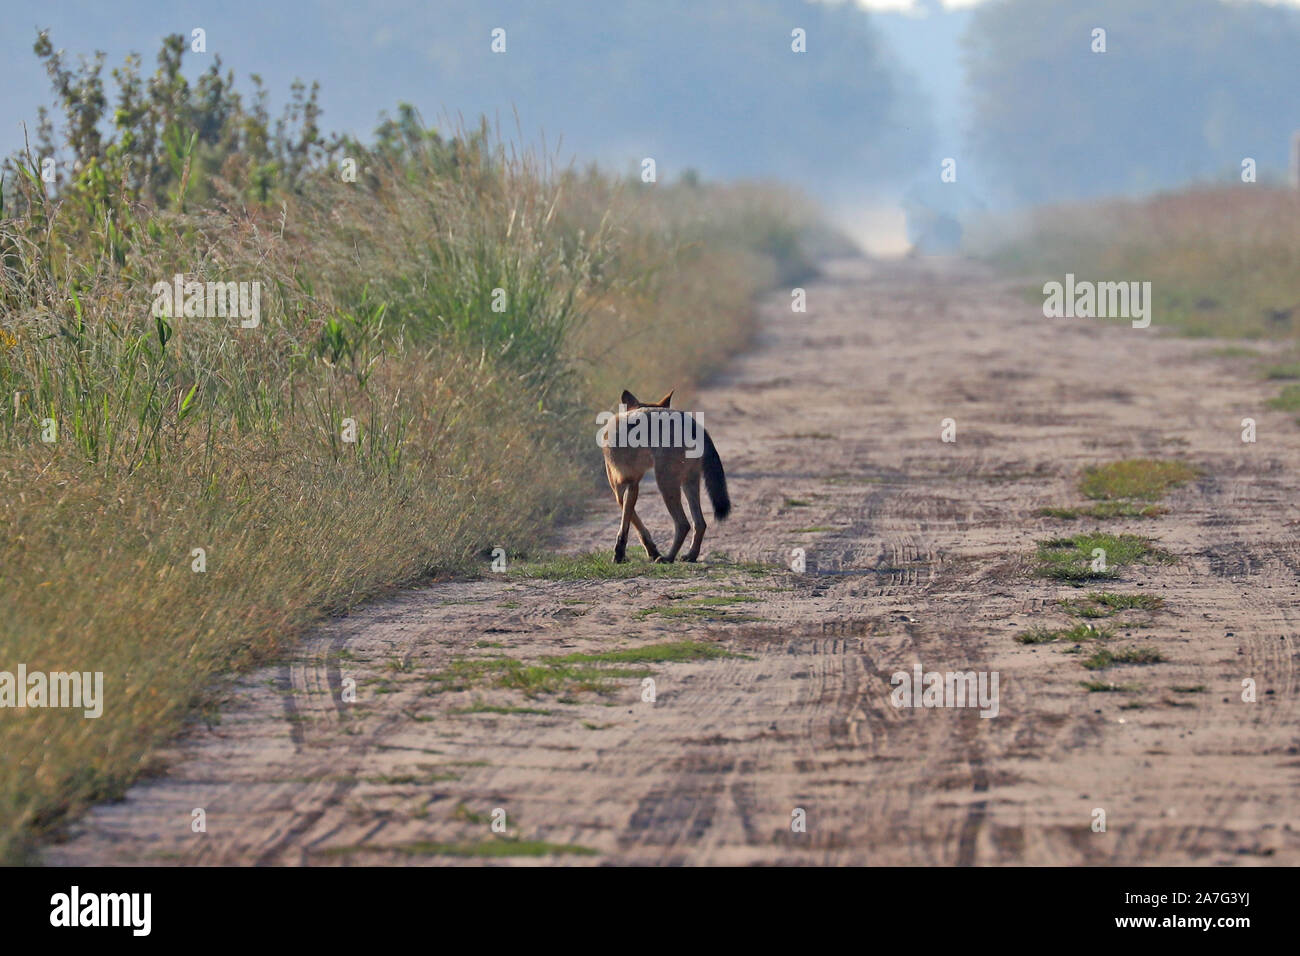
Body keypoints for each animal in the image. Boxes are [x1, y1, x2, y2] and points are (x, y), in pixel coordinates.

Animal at [600, 389, 731, 563]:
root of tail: (693, 423)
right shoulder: (633, 485)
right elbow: (635, 522)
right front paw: (651, 550)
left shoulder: (620, 490)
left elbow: (629, 524)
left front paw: (620, 554)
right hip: (688, 483)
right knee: (700, 523)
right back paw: (690, 556)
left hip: (665, 484)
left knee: (683, 524)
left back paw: (667, 558)